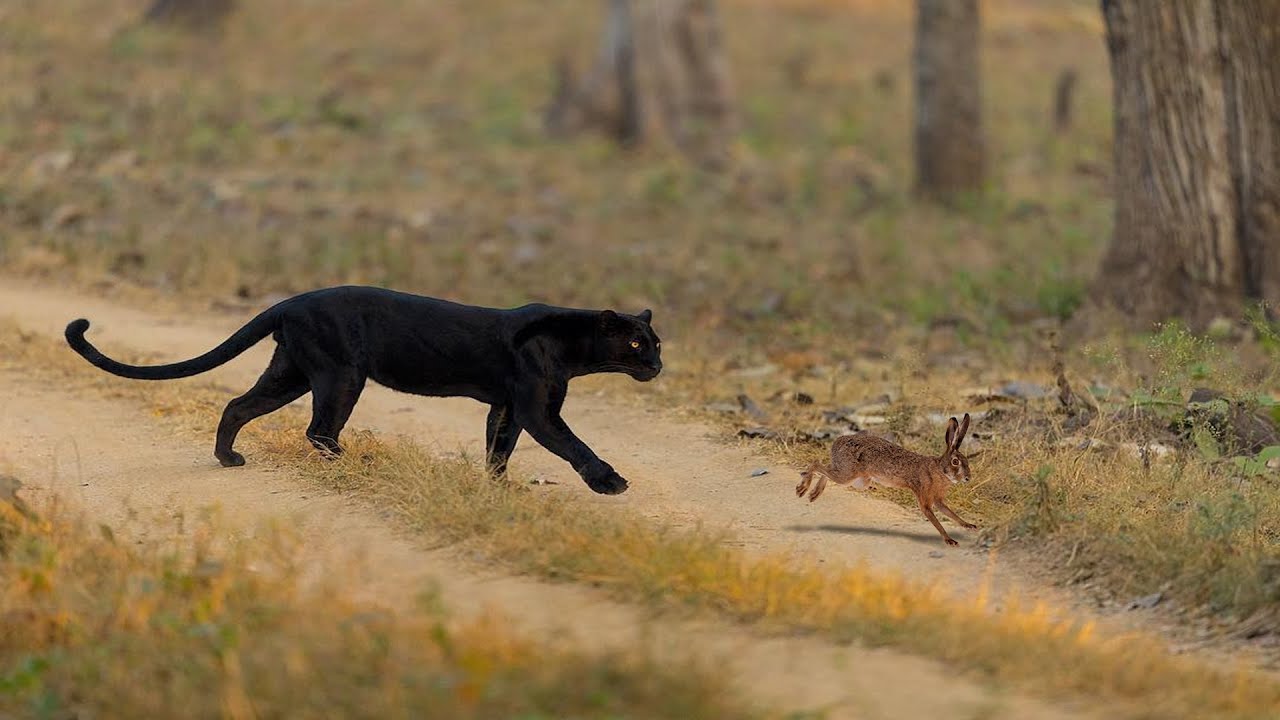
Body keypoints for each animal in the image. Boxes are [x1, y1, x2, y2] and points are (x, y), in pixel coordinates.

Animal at [796, 413, 979, 546]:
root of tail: (837, 442)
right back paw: (802, 489)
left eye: (967, 461)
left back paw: (814, 494)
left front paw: (969, 525)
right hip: (848, 475)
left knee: (826, 469)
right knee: (817, 464)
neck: (940, 470)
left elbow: (950, 513)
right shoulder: (924, 496)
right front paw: (949, 540)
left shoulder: (938, 499)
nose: (967, 478)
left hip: (858, 480)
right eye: (955, 462)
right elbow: (934, 519)